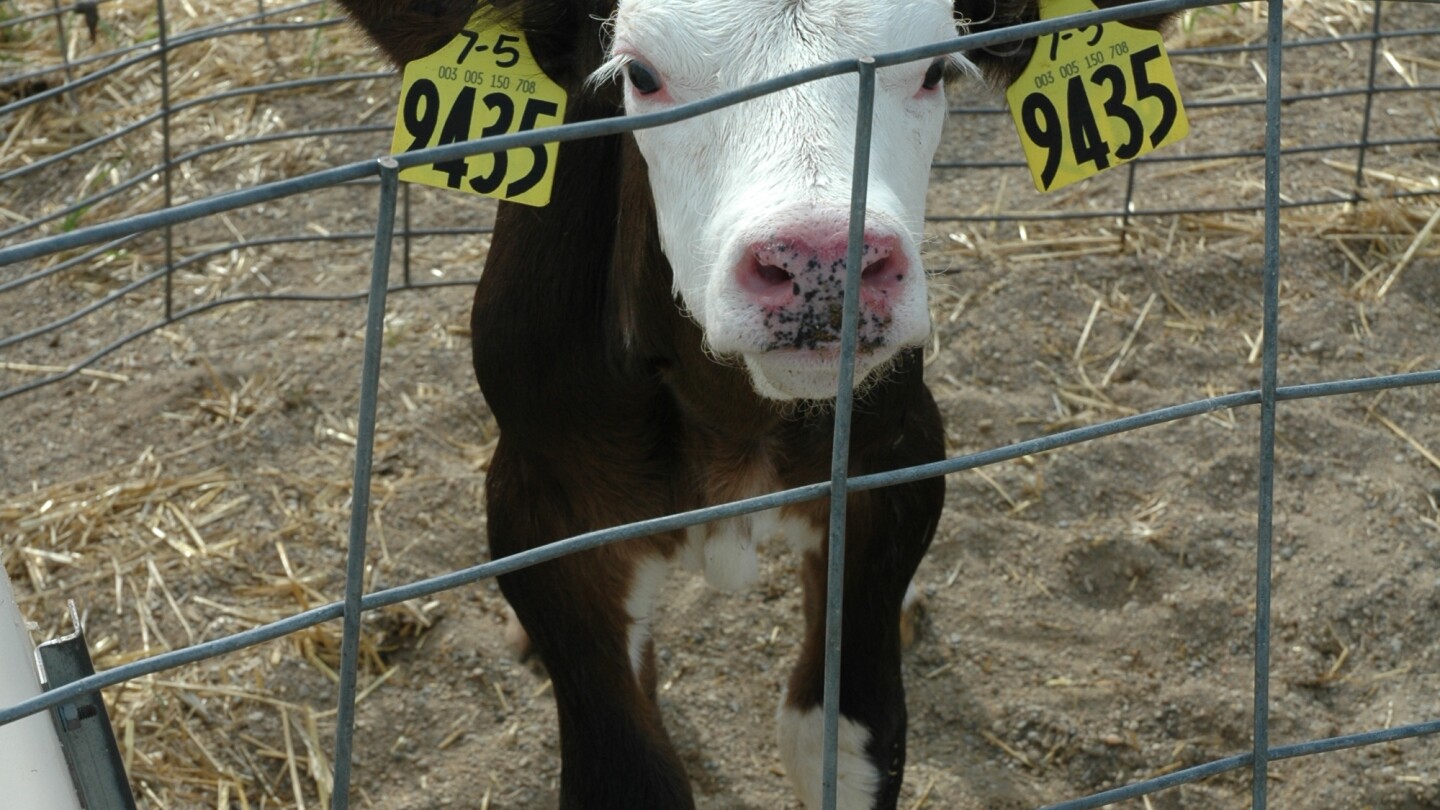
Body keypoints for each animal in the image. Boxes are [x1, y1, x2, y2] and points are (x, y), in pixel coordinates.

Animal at [333, 0, 1170, 807]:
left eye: (935, 68)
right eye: (639, 74)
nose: (823, 262)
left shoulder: (892, 463)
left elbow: (843, 743)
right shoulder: (546, 505)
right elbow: (630, 776)